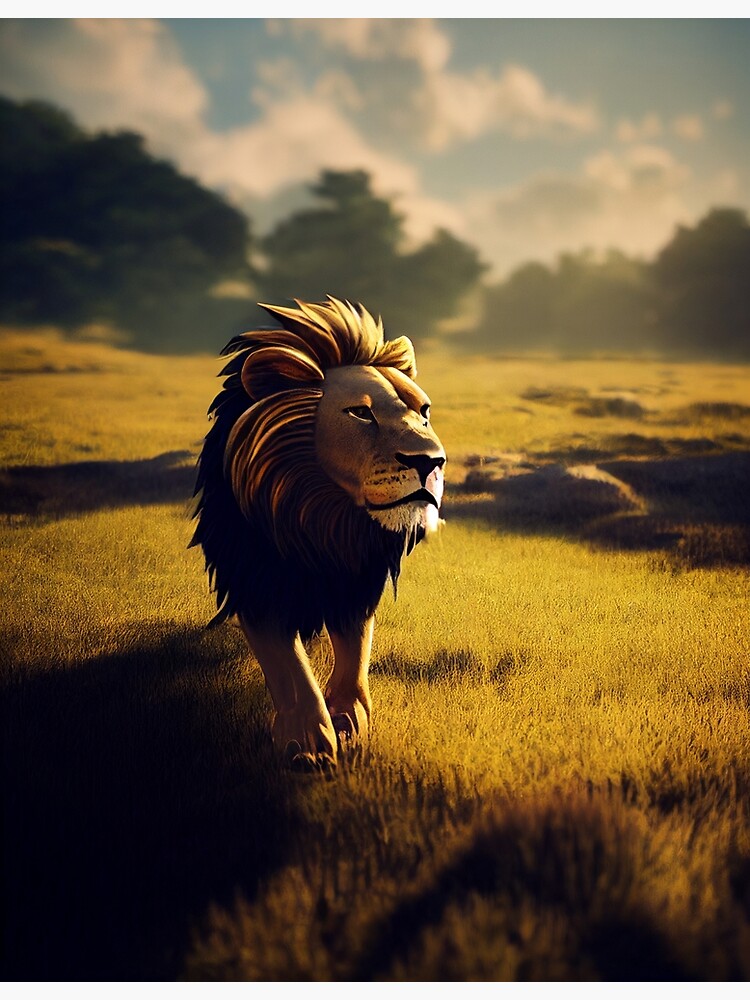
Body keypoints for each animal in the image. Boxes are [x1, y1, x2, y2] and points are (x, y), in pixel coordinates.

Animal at [192, 297, 445, 770]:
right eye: (361, 412)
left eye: (423, 412)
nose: (432, 461)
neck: (323, 521)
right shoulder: (256, 581)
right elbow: (287, 664)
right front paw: (307, 739)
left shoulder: (358, 579)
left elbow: (356, 648)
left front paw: (349, 718)